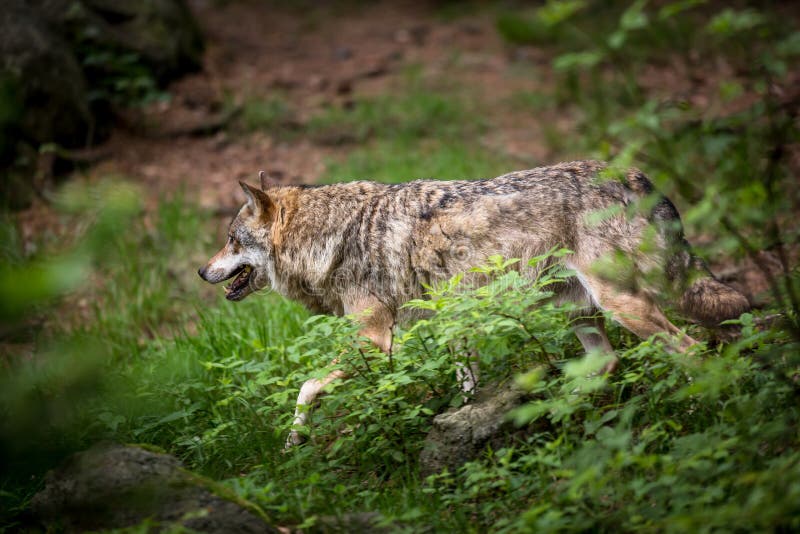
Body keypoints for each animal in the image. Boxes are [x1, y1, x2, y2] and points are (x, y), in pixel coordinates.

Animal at [198, 160, 750, 447]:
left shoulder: (376, 341)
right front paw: (462, 427)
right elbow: (467, 385)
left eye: (230, 240)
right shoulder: (452, 325)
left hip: (626, 307)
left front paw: (293, 444)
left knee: (693, 350)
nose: (203, 272)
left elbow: (306, 388)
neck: (328, 236)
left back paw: (710, 409)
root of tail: (635, 175)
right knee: (623, 360)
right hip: (580, 313)